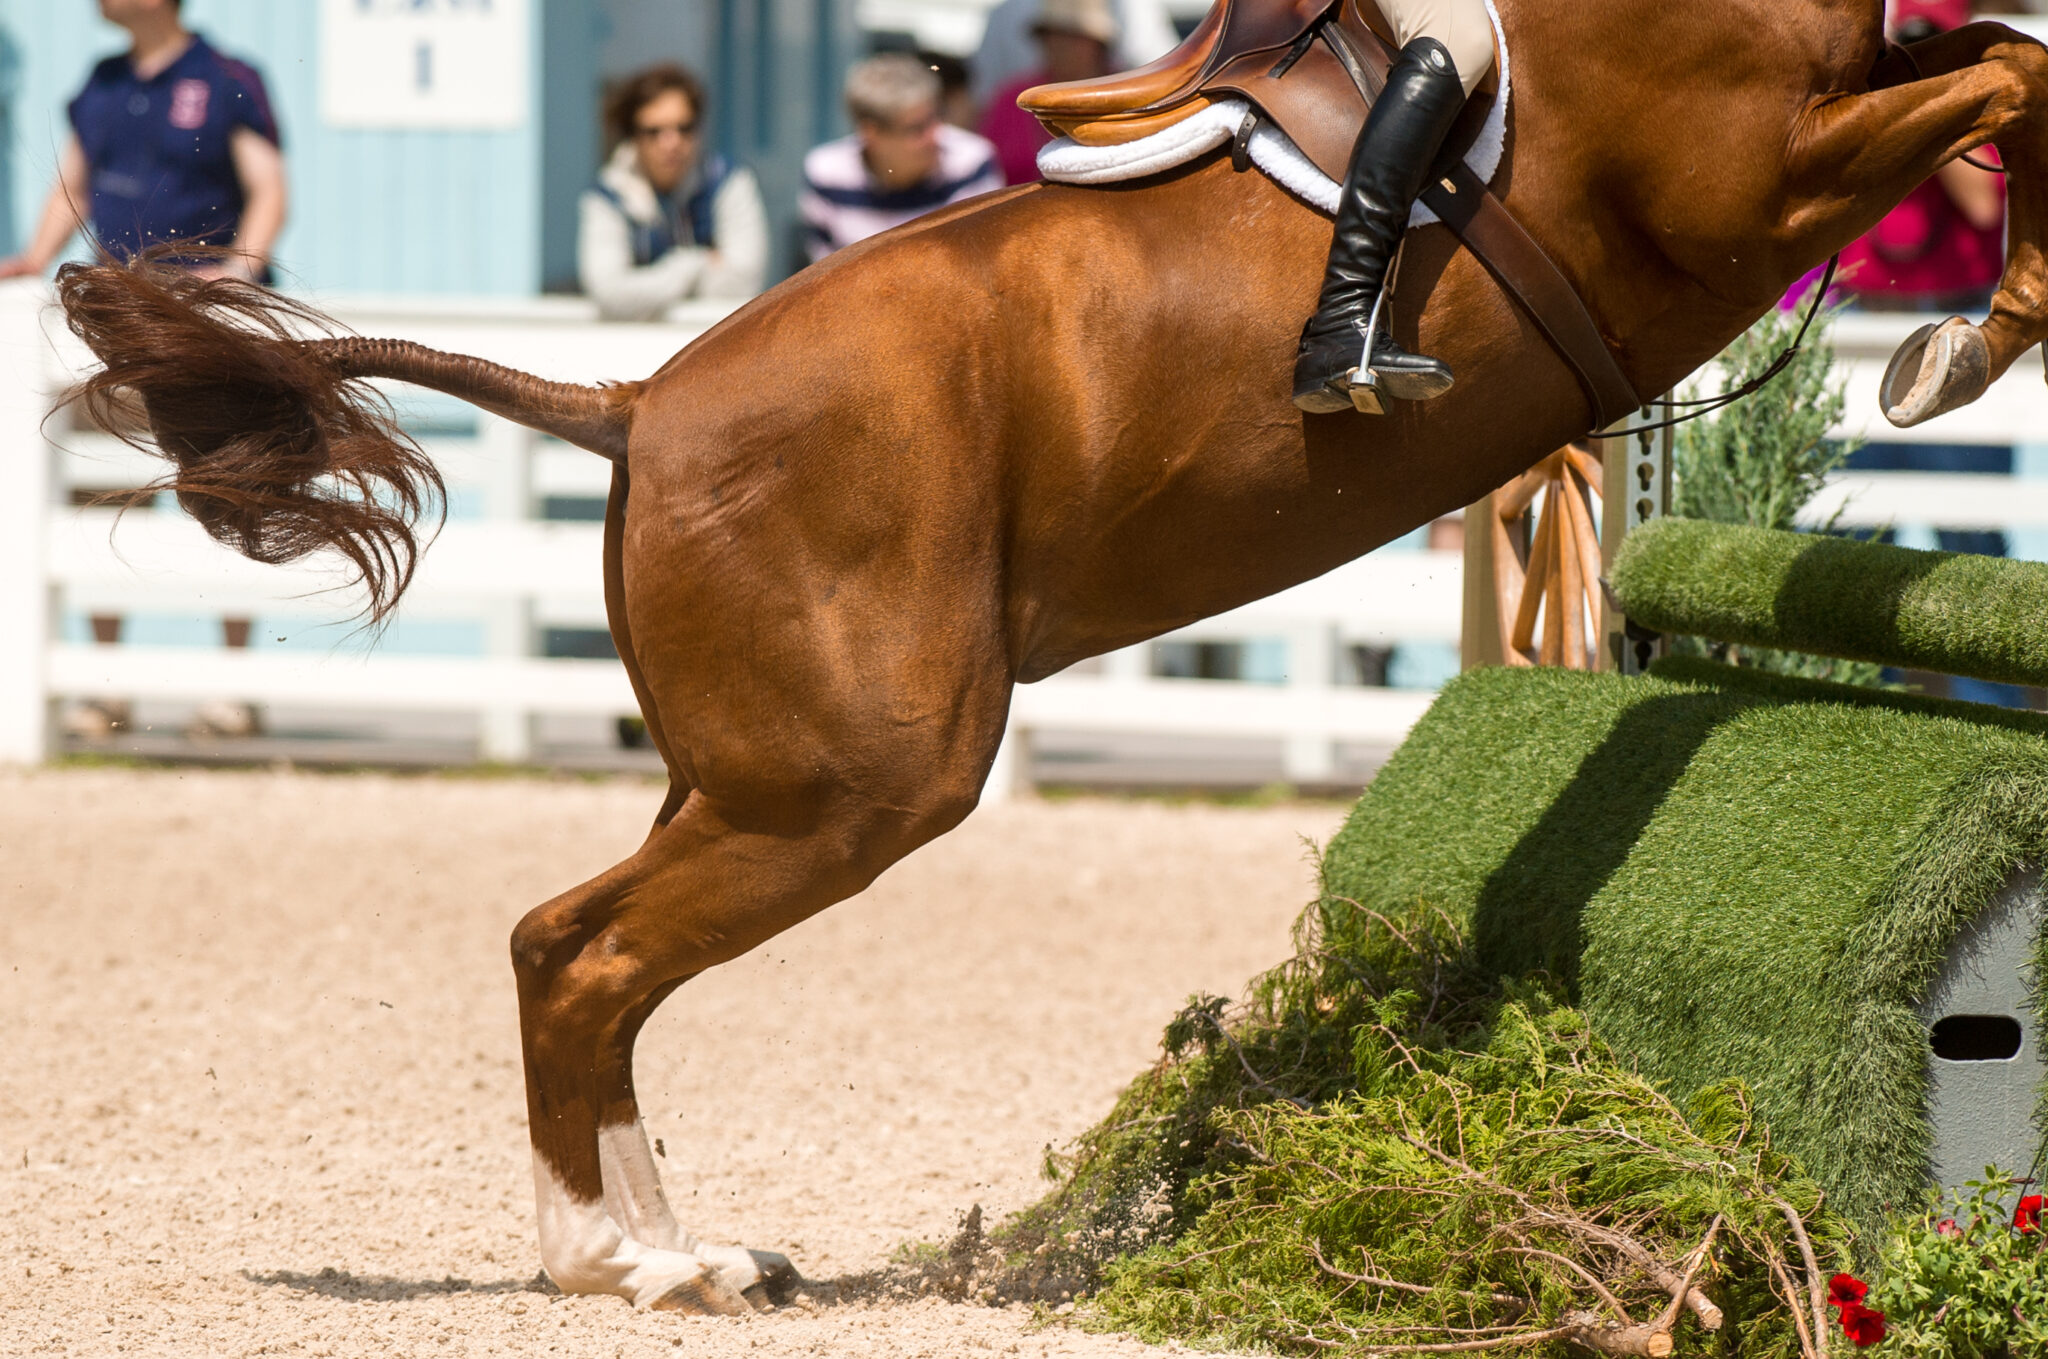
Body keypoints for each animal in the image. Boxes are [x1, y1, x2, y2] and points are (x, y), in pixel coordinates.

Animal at [49, 0, 2048, 1315]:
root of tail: (638, 399)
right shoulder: (1746, 176)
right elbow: (2008, 76)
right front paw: (1961, 345)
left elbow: (1993, 61)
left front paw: (1961, 332)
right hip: (859, 779)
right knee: (584, 952)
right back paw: (637, 1260)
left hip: (750, 769)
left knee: (579, 951)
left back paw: (667, 1245)